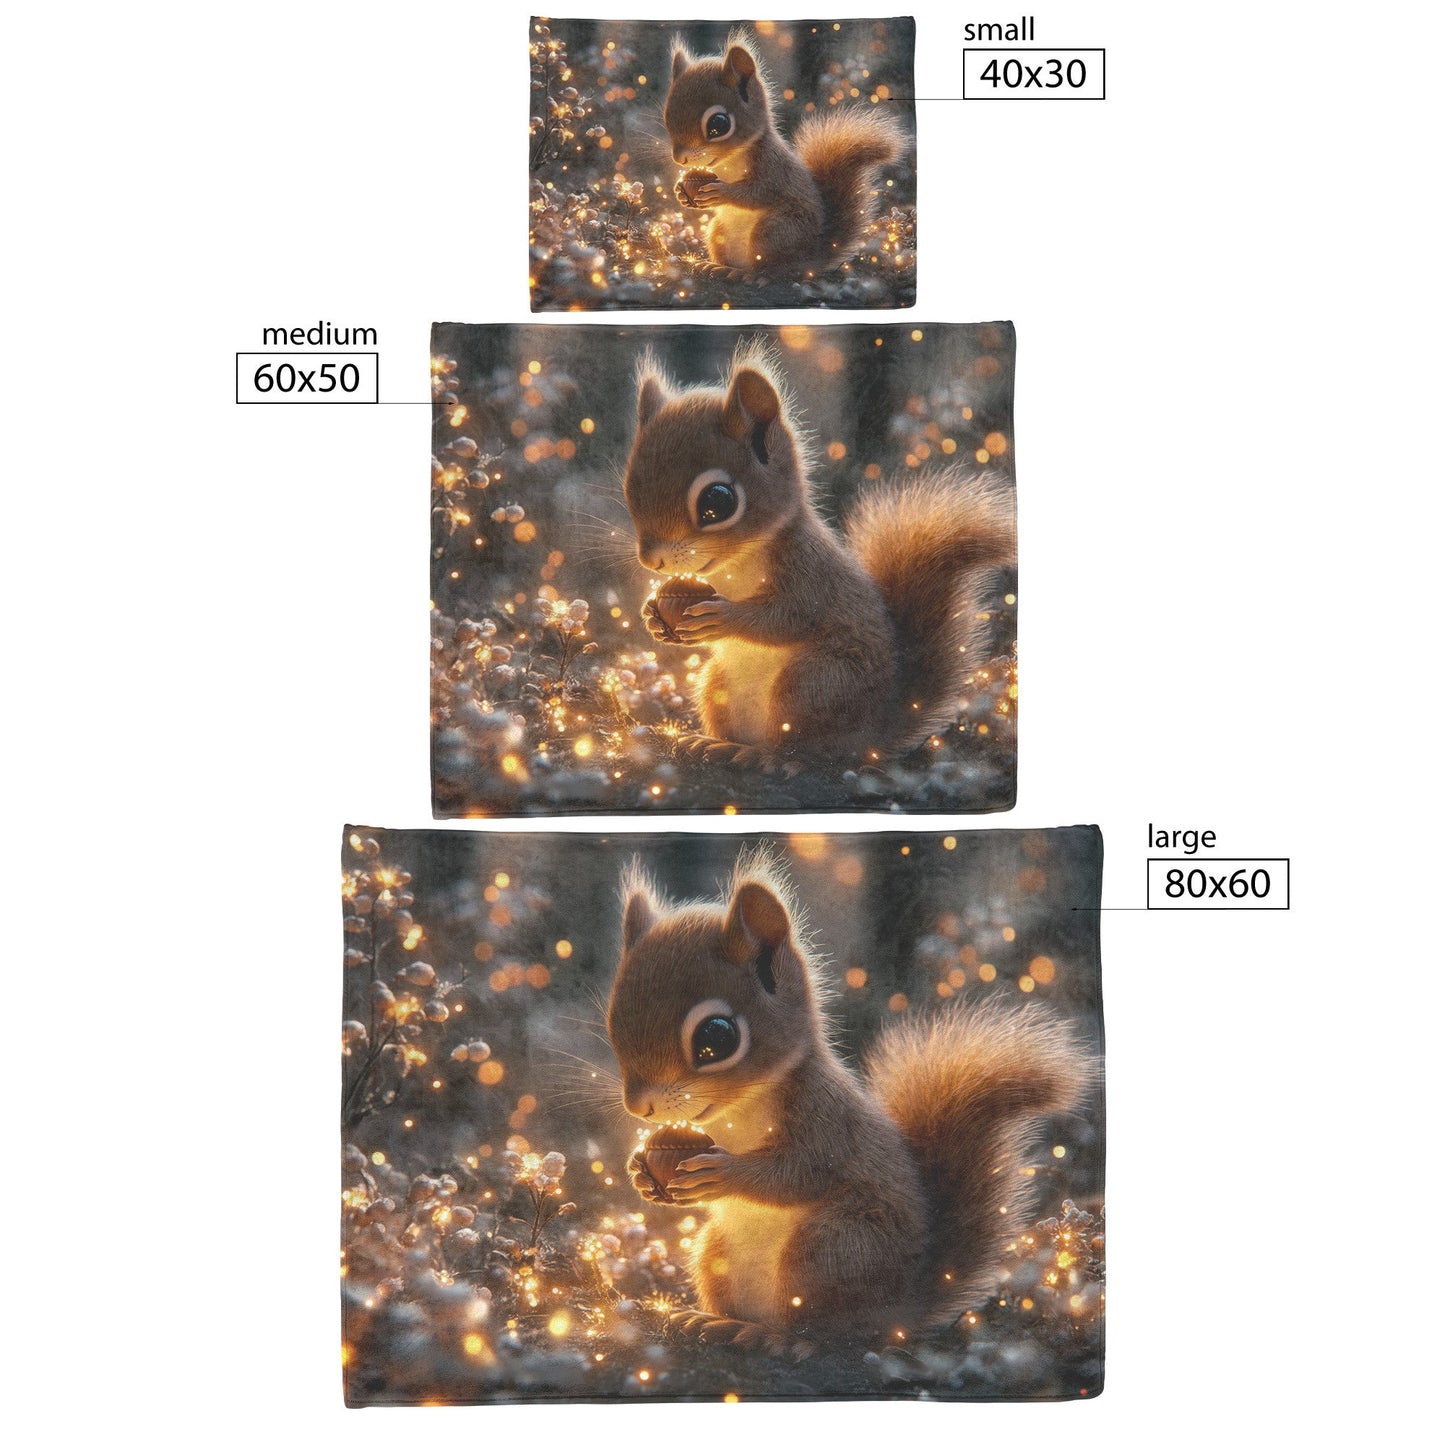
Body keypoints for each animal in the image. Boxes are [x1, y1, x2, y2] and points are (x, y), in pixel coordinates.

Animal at [606, 855, 1091, 1352]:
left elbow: (800, 1172)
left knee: (827, 1331)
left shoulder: (826, 1117)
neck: (737, 1113)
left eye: (716, 1038)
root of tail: (898, 1310)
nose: (639, 1108)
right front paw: (639, 1172)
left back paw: (772, 1336)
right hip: (715, 1251)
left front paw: (725, 1174)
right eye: (611, 1019)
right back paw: (712, 1320)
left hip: (834, 1248)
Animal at [623, 347, 1016, 766]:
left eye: (717, 502)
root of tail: (873, 735)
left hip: (815, 682)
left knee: (807, 751)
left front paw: (726, 617)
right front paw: (652, 616)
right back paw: (714, 743)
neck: (734, 565)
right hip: (717, 684)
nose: (651, 561)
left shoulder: (809, 571)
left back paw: (763, 757)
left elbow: (789, 616)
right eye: (629, 488)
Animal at [664, 32, 905, 278]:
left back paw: (750, 275)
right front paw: (680, 193)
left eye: (718, 124)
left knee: (776, 269)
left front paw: (723, 192)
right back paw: (718, 266)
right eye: (666, 115)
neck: (728, 162)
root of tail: (810, 260)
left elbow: (760, 192)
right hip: (717, 231)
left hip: (776, 231)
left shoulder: (774, 166)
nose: (679, 158)